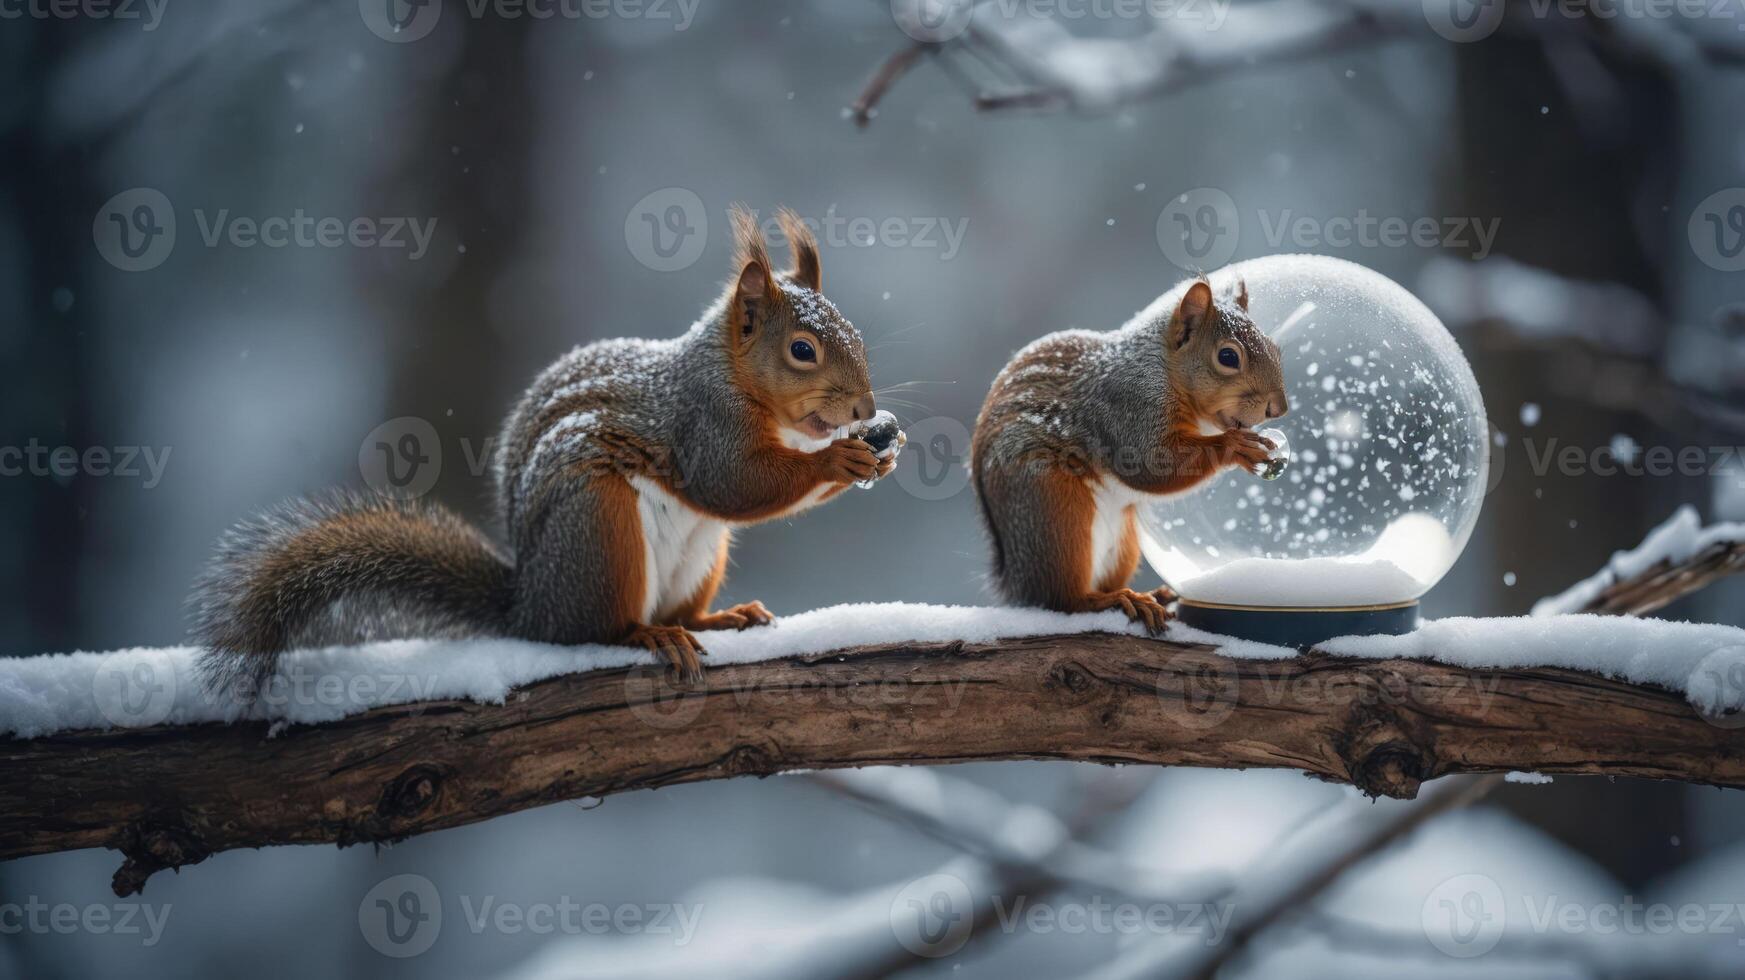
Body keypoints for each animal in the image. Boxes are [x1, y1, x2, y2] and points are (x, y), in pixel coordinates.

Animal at [191, 206, 894, 689]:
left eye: (858, 335)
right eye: (801, 349)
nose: (863, 410)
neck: (737, 381)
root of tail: (530, 609)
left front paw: (879, 452)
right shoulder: (702, 423)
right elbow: (736, 485)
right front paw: (838, 458)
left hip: (700, 555)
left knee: (681, 609)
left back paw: (716, 619)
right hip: (599, 527)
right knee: (599, 630)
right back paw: (650, 636)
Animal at [970, 272, 1288, 632]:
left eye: (1274, 347)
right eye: (1228, 357)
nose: (1279, 408)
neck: (1165, 370)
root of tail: (1018, 581)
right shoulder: (1130, 404)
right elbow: (1153, 462)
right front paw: (1233, 445)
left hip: (1123, 540)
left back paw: (1151, 594)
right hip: (1053, 508)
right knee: (1064, 600)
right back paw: (1117, 600)